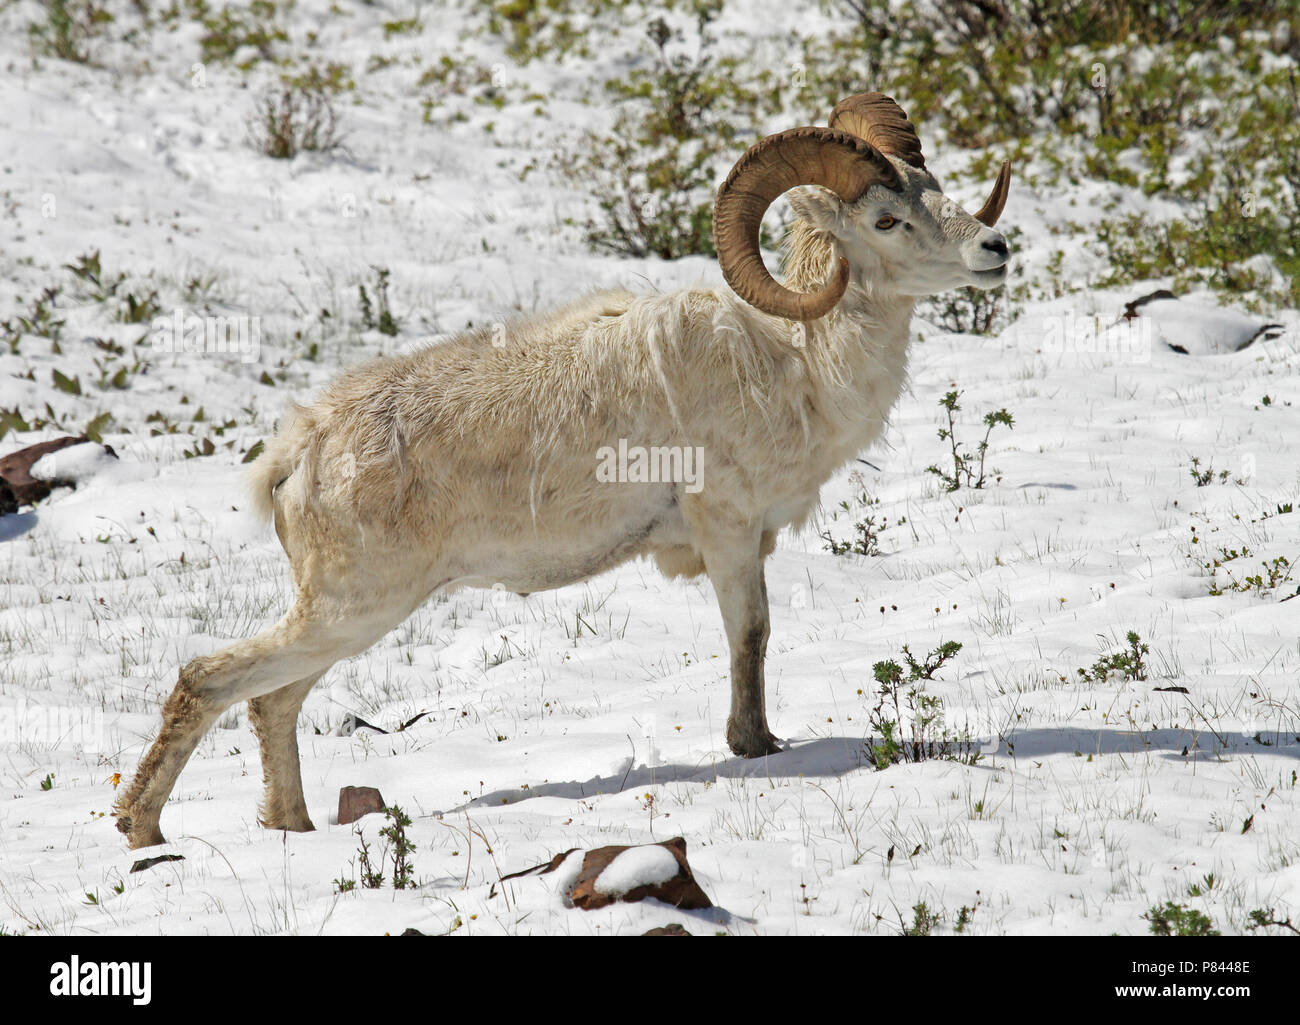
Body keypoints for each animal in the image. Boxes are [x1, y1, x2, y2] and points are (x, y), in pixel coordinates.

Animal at [114, 92, 1011, 849]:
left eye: (933, 188)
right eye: (889, 219)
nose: (995, 249)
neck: (794, 360)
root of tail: (302, 449)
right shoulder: (727, 531)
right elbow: (750, 636)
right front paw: (756, 747)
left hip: (343, 619)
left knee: (272, 701)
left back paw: (290, 829)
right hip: (350, 610)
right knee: (212, 681)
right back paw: (142, 829)